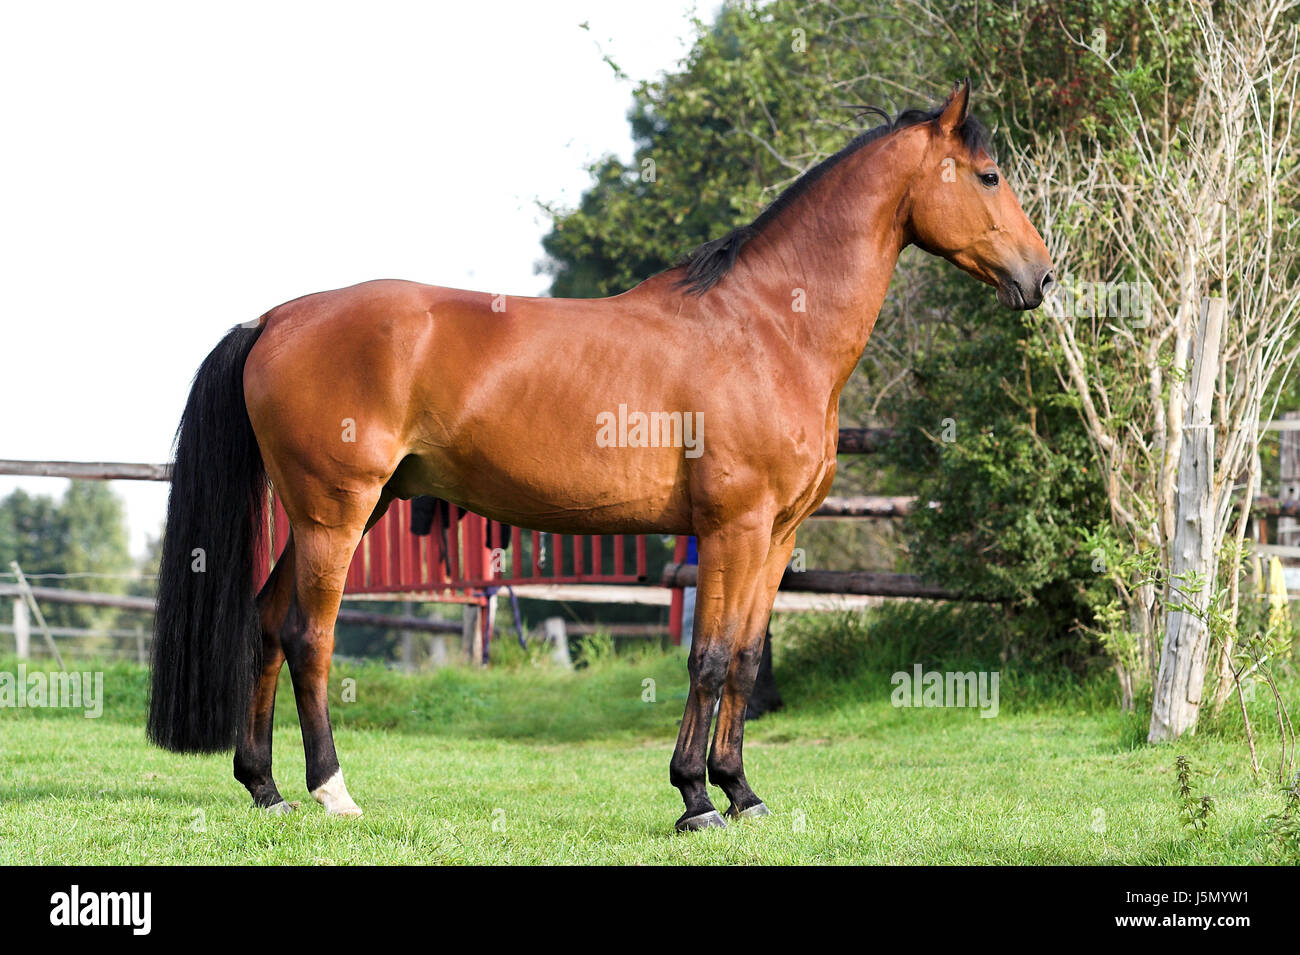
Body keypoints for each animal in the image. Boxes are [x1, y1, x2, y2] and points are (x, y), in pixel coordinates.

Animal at [147, 80, 1053, 832]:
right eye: (988, 175)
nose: (1041, 276)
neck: (768, 327)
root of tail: (275, 318)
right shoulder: (731, 528)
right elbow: (708, 657)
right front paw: (695, 797)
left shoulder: (777, 534)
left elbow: (744, 659)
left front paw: (742, 790)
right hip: (338, 514)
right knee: (310, 635)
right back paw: (332, 791)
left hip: (330, 516)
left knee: (268, 624)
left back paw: (265, 788)